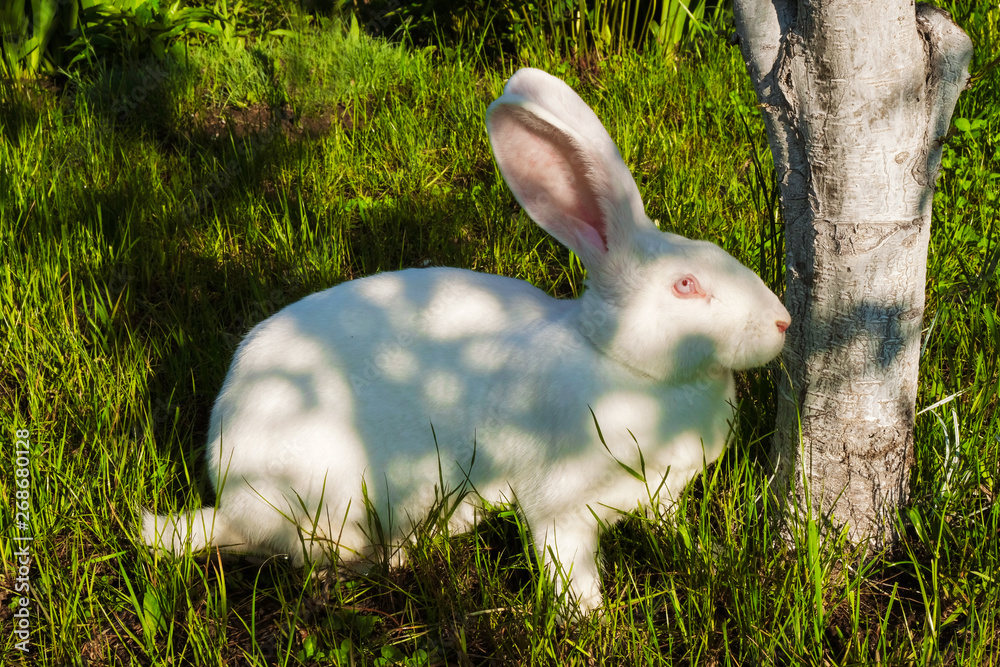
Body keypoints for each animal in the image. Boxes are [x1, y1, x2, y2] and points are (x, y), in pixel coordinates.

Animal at [142, 67, 790, 614]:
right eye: (686, 286)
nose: (783, 322)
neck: (621, 363)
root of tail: (230, 501)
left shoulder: (663, 494)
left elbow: (668, 524)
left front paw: (711, 556)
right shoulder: (560, 506)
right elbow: (567, 560)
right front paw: (587, 619)